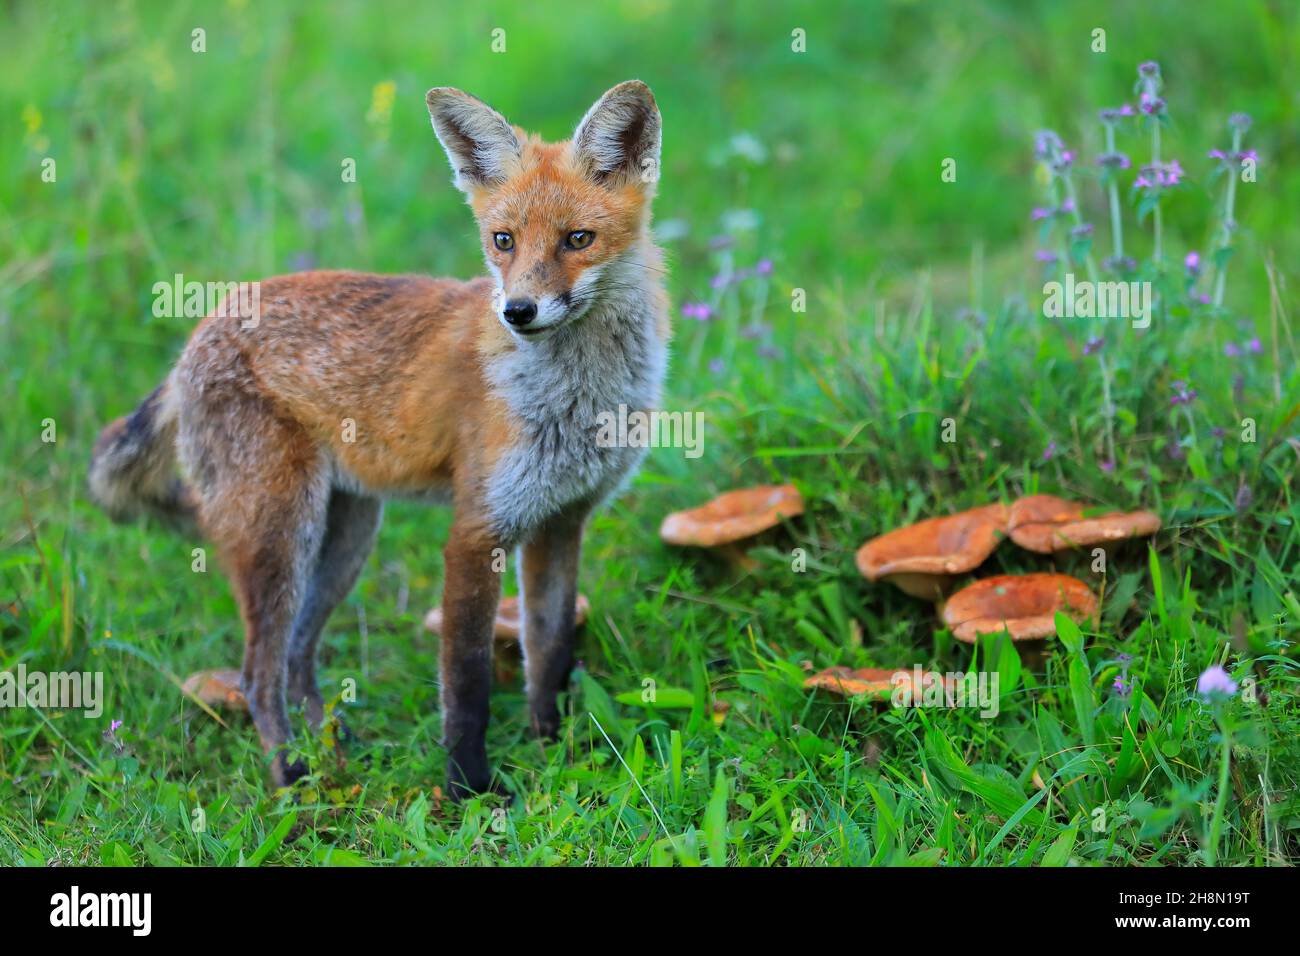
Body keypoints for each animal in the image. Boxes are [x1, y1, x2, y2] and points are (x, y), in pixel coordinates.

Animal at [88, 81, 668, 797]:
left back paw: (335, 752)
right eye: (503, 240)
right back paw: (291, 775)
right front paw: (469, 790)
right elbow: (467, 685)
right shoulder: (477, 530)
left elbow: (550, 649)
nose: (518, 311)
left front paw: (553, 746)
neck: (576, 400)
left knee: (297, 656)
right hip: (281, 536)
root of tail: (193, 340)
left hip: (346, 535)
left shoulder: (562, 519)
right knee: (258, 673)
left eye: (577, 239)